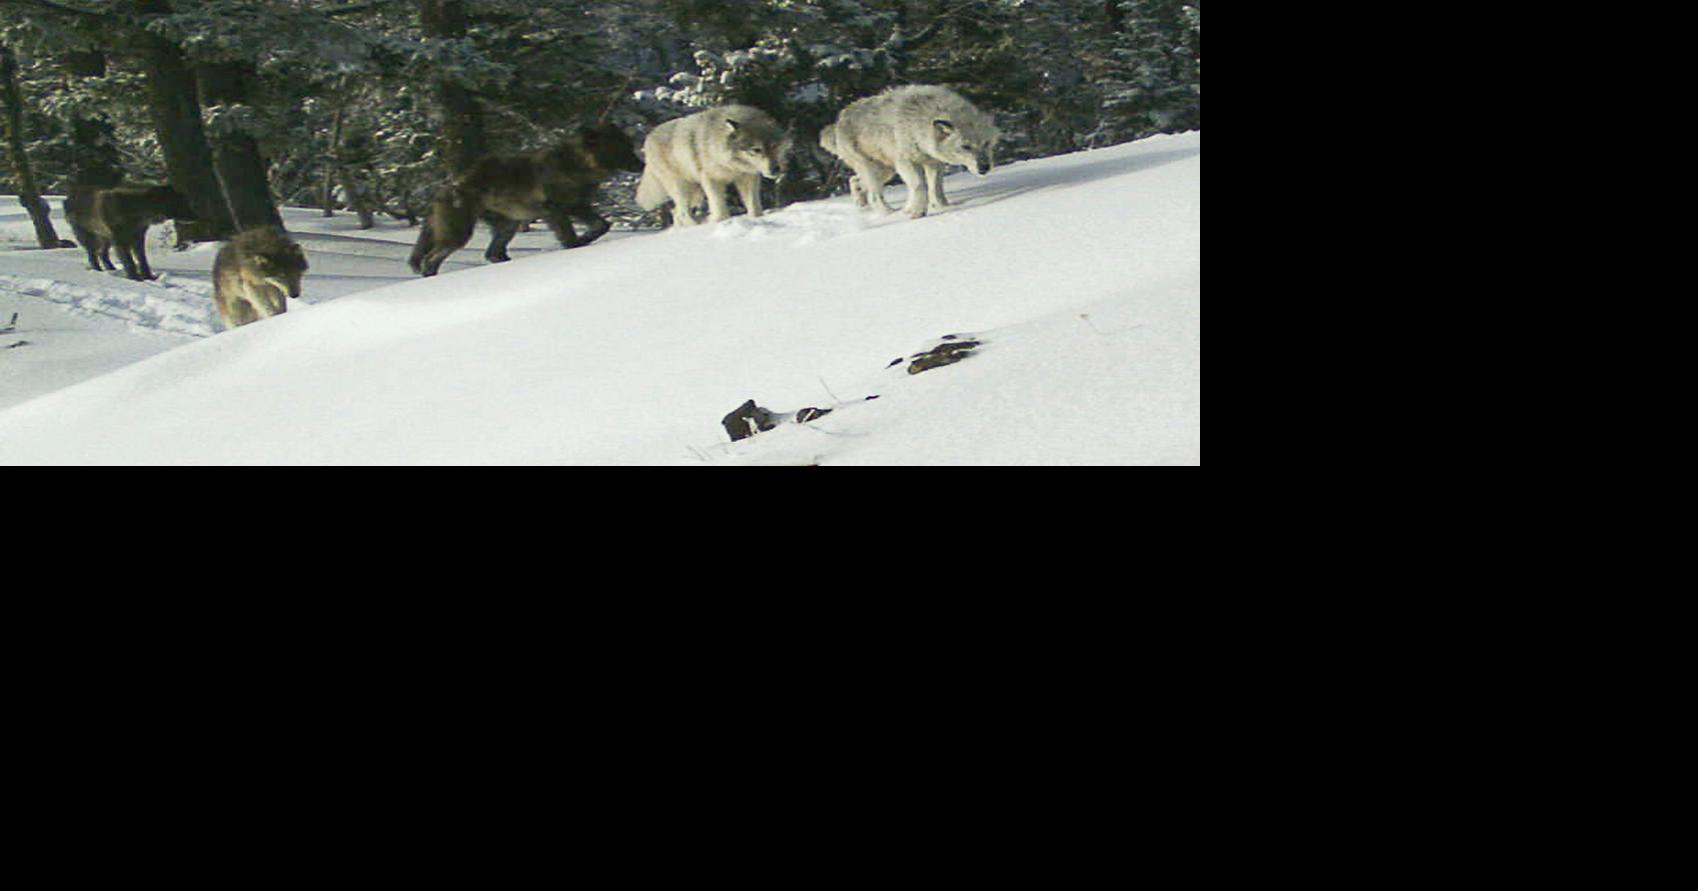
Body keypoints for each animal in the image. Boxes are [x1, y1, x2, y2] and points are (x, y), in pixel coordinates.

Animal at [63, 184, 198, 281]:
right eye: (180, 202)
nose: (196, 216)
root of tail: (68, 198)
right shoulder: (119, 239)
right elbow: (129, 261)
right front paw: (134, 278)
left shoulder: (138, 237)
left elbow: (142, 259)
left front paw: (149, 277)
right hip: (87, 234)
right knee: (93, 254)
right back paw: (98, 270)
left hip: (105, 237)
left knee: (102, 253)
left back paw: (111, 269)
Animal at [408, 122, 642, 277]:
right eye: (622, 148)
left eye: (630, 146)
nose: (642, 165)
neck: (577, 165)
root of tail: (441, 190)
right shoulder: (555, 209)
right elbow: (569, 236)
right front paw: (576, 246)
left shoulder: (577, 205)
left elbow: (602, 225)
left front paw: (586, 239)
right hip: (459, 233)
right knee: (431, 259)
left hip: (508, 225)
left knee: (492, 254)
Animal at [635, 105, 790, 226]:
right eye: (756, 149)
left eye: (774, 146)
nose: (776, 169)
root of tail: (649, 137)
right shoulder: (712, 180)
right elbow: (720, 209)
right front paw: (719, 222)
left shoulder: (747, 178)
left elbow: (754, 206)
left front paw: (757, 219)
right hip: (683, 188)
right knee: (682, 213)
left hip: (696, 193)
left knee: (676, 213)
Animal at [823, 84, 1000, 218]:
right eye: (965, 146)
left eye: (986, 143)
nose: (985, 167)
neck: (918, 124)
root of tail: (838, 121)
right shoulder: (907, 162)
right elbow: (919, 186)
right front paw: (916, 212)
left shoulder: (933, 163)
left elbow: (935, 187)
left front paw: (942, 207)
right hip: (875, 170)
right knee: (874, 195)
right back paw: (890, 214)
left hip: (886, 171)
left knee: (854, 181)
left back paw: (862, 206)